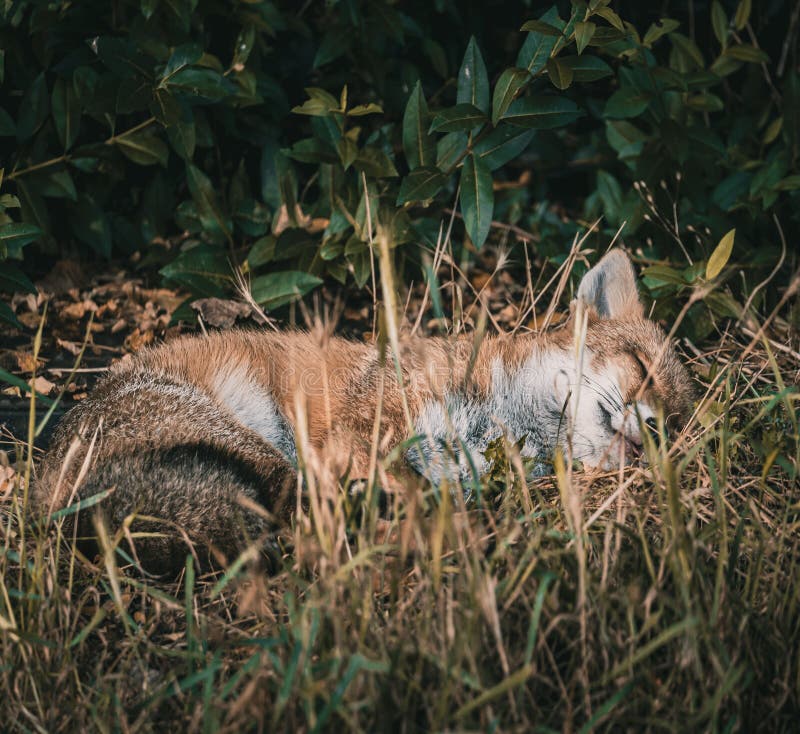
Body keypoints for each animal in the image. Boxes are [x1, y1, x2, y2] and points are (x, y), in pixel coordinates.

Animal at [35, 249, 694, 568]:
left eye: (679, 420)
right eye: (641, 367)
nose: (657, 432)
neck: (497, 422)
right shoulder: (369, 426)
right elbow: (407, 491)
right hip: (263, 454)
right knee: (296, 514)